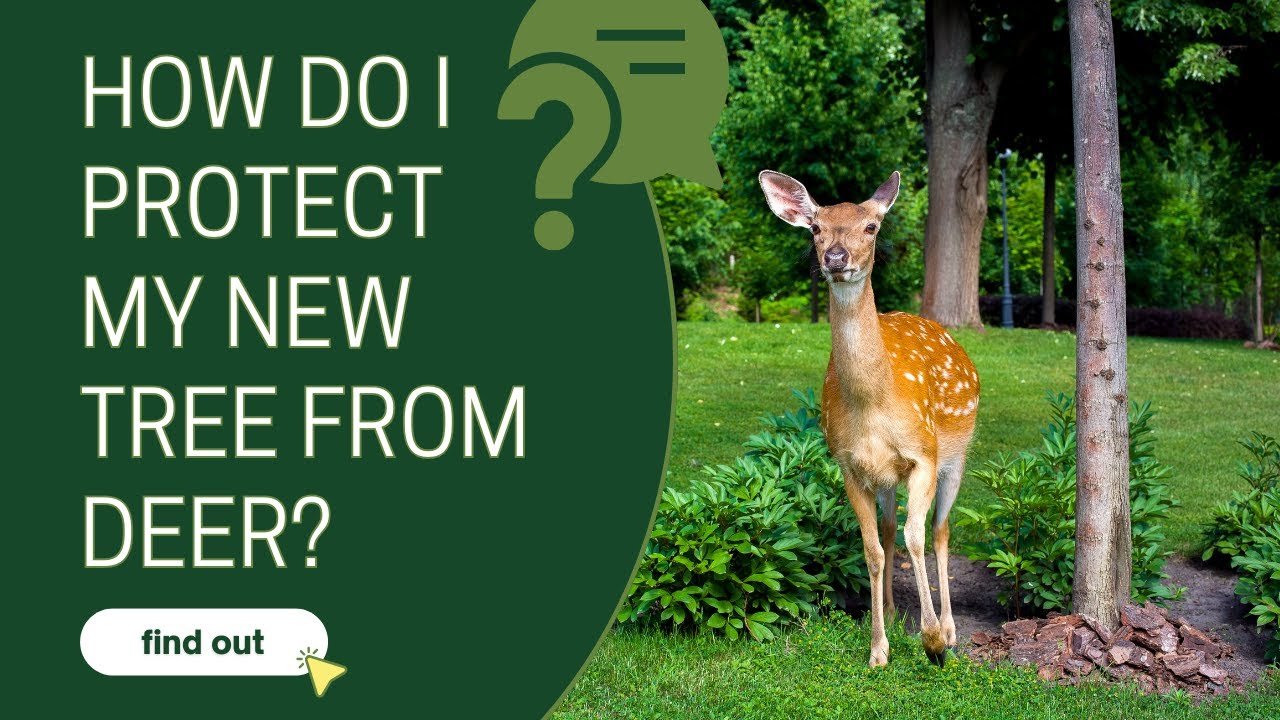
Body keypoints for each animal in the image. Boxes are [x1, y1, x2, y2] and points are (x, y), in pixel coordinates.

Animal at [758, 170, 980, 667]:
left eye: (871, 226)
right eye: (815, 228)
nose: (836, 257)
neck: (873, 403)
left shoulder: (924, 455)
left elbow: (918, 537)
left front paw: (932, 639)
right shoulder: (850, 465)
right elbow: (873, 549)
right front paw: (879, 649)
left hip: (957, 453)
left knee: (939, 531)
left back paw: (950, 628)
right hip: (886, 477)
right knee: (890, 529)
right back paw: (896, 615)